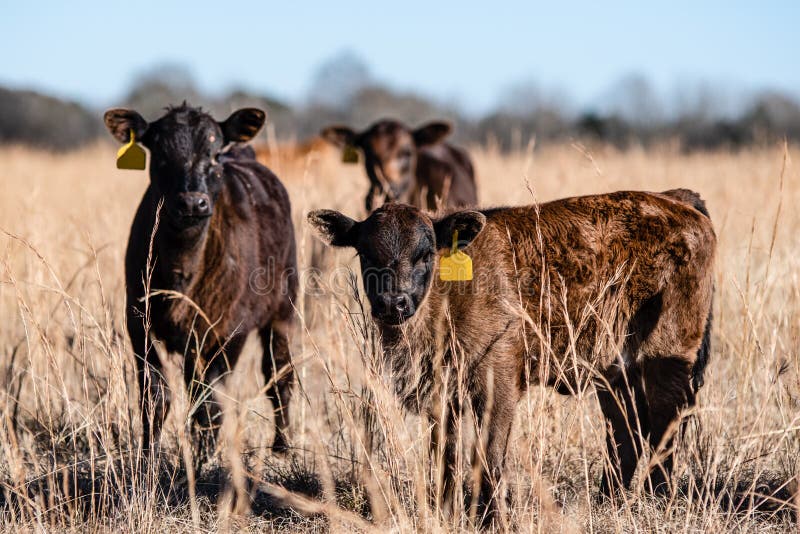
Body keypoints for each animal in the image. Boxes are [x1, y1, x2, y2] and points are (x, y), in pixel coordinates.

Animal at [104, 103, 297, 456]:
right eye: (160, 153)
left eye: (214, 154)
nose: (193, 202)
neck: (182, 268)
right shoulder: (137, 319)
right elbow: (155, 396)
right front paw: (149, 456)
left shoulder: (230, 330)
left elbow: (211, 406)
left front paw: (203, 460)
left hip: (284, 306)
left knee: (279, 375)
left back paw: (281, 446)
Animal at [308, 189, 715, 526]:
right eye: (365, 253)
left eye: (424, 254)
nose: (393, 303)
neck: (452, 294)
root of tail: (678, 202)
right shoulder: (443, 397)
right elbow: (446, 456)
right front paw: (445, 512)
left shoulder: (498, 390)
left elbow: (489, 457)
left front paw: (492, 519)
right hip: (613, 373)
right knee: (625, 432)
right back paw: (607, 502)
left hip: (666, 358)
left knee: (665, 424)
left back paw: (657, 499)